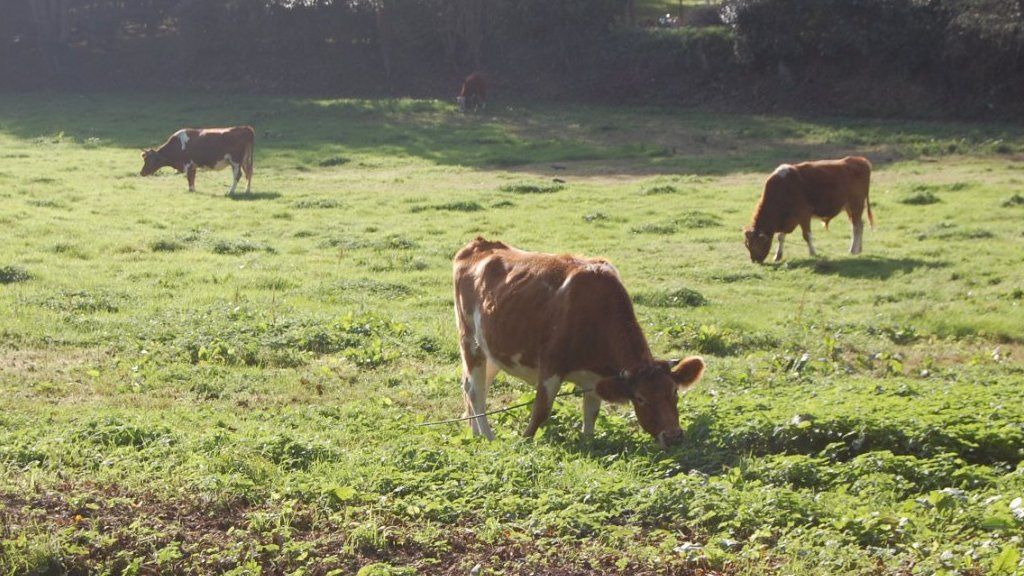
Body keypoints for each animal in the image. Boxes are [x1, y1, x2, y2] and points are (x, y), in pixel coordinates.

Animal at [453, 237, 705, 447]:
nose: (673, 436)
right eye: (641, 398)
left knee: (478, 385)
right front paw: (524, 442)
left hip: (493, 349)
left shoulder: (596, 378)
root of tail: (480, 243)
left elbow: (591, 414)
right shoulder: (551, 367)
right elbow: (541, 411)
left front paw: (588, 444)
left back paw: (474, 432)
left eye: (674, 392)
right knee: (474, 390)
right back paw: (487, 436)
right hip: (470, 340)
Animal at [743, 156, 874, 263]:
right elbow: (781, 236)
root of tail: (860, 160)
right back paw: (859, 249)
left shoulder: (803, 215)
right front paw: (778, 256)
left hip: (856, 204)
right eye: (747, 245)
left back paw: (853, 250)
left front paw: (813, 253)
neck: (783, 189)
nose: (754, 261)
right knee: (859, 224)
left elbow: (807, 235)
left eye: (755, 245)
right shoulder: (788, 220)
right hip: (849, 207)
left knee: (856, 227)